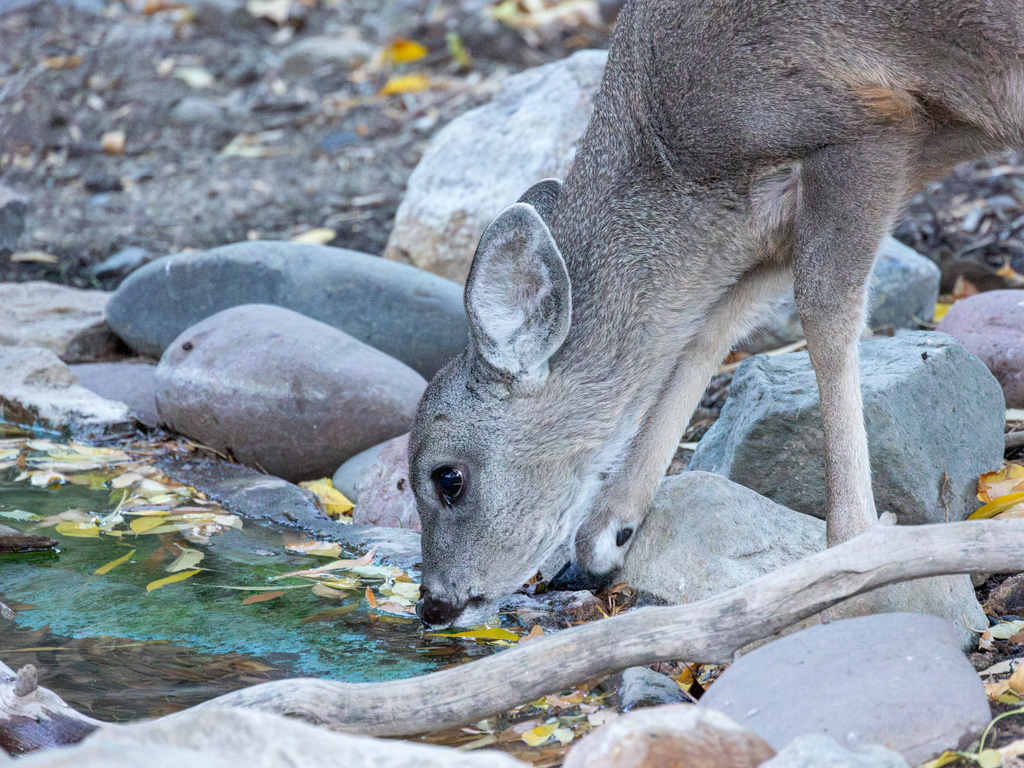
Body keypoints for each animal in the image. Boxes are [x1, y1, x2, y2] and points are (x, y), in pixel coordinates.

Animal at [408, 0, 1024, 628]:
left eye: (448, 478)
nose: (434, 603)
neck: (685, 167)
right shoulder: (775, 217)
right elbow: (709, 329)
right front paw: (606, 536)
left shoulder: (861, 126)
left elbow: (825, 314)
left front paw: (850, 554)